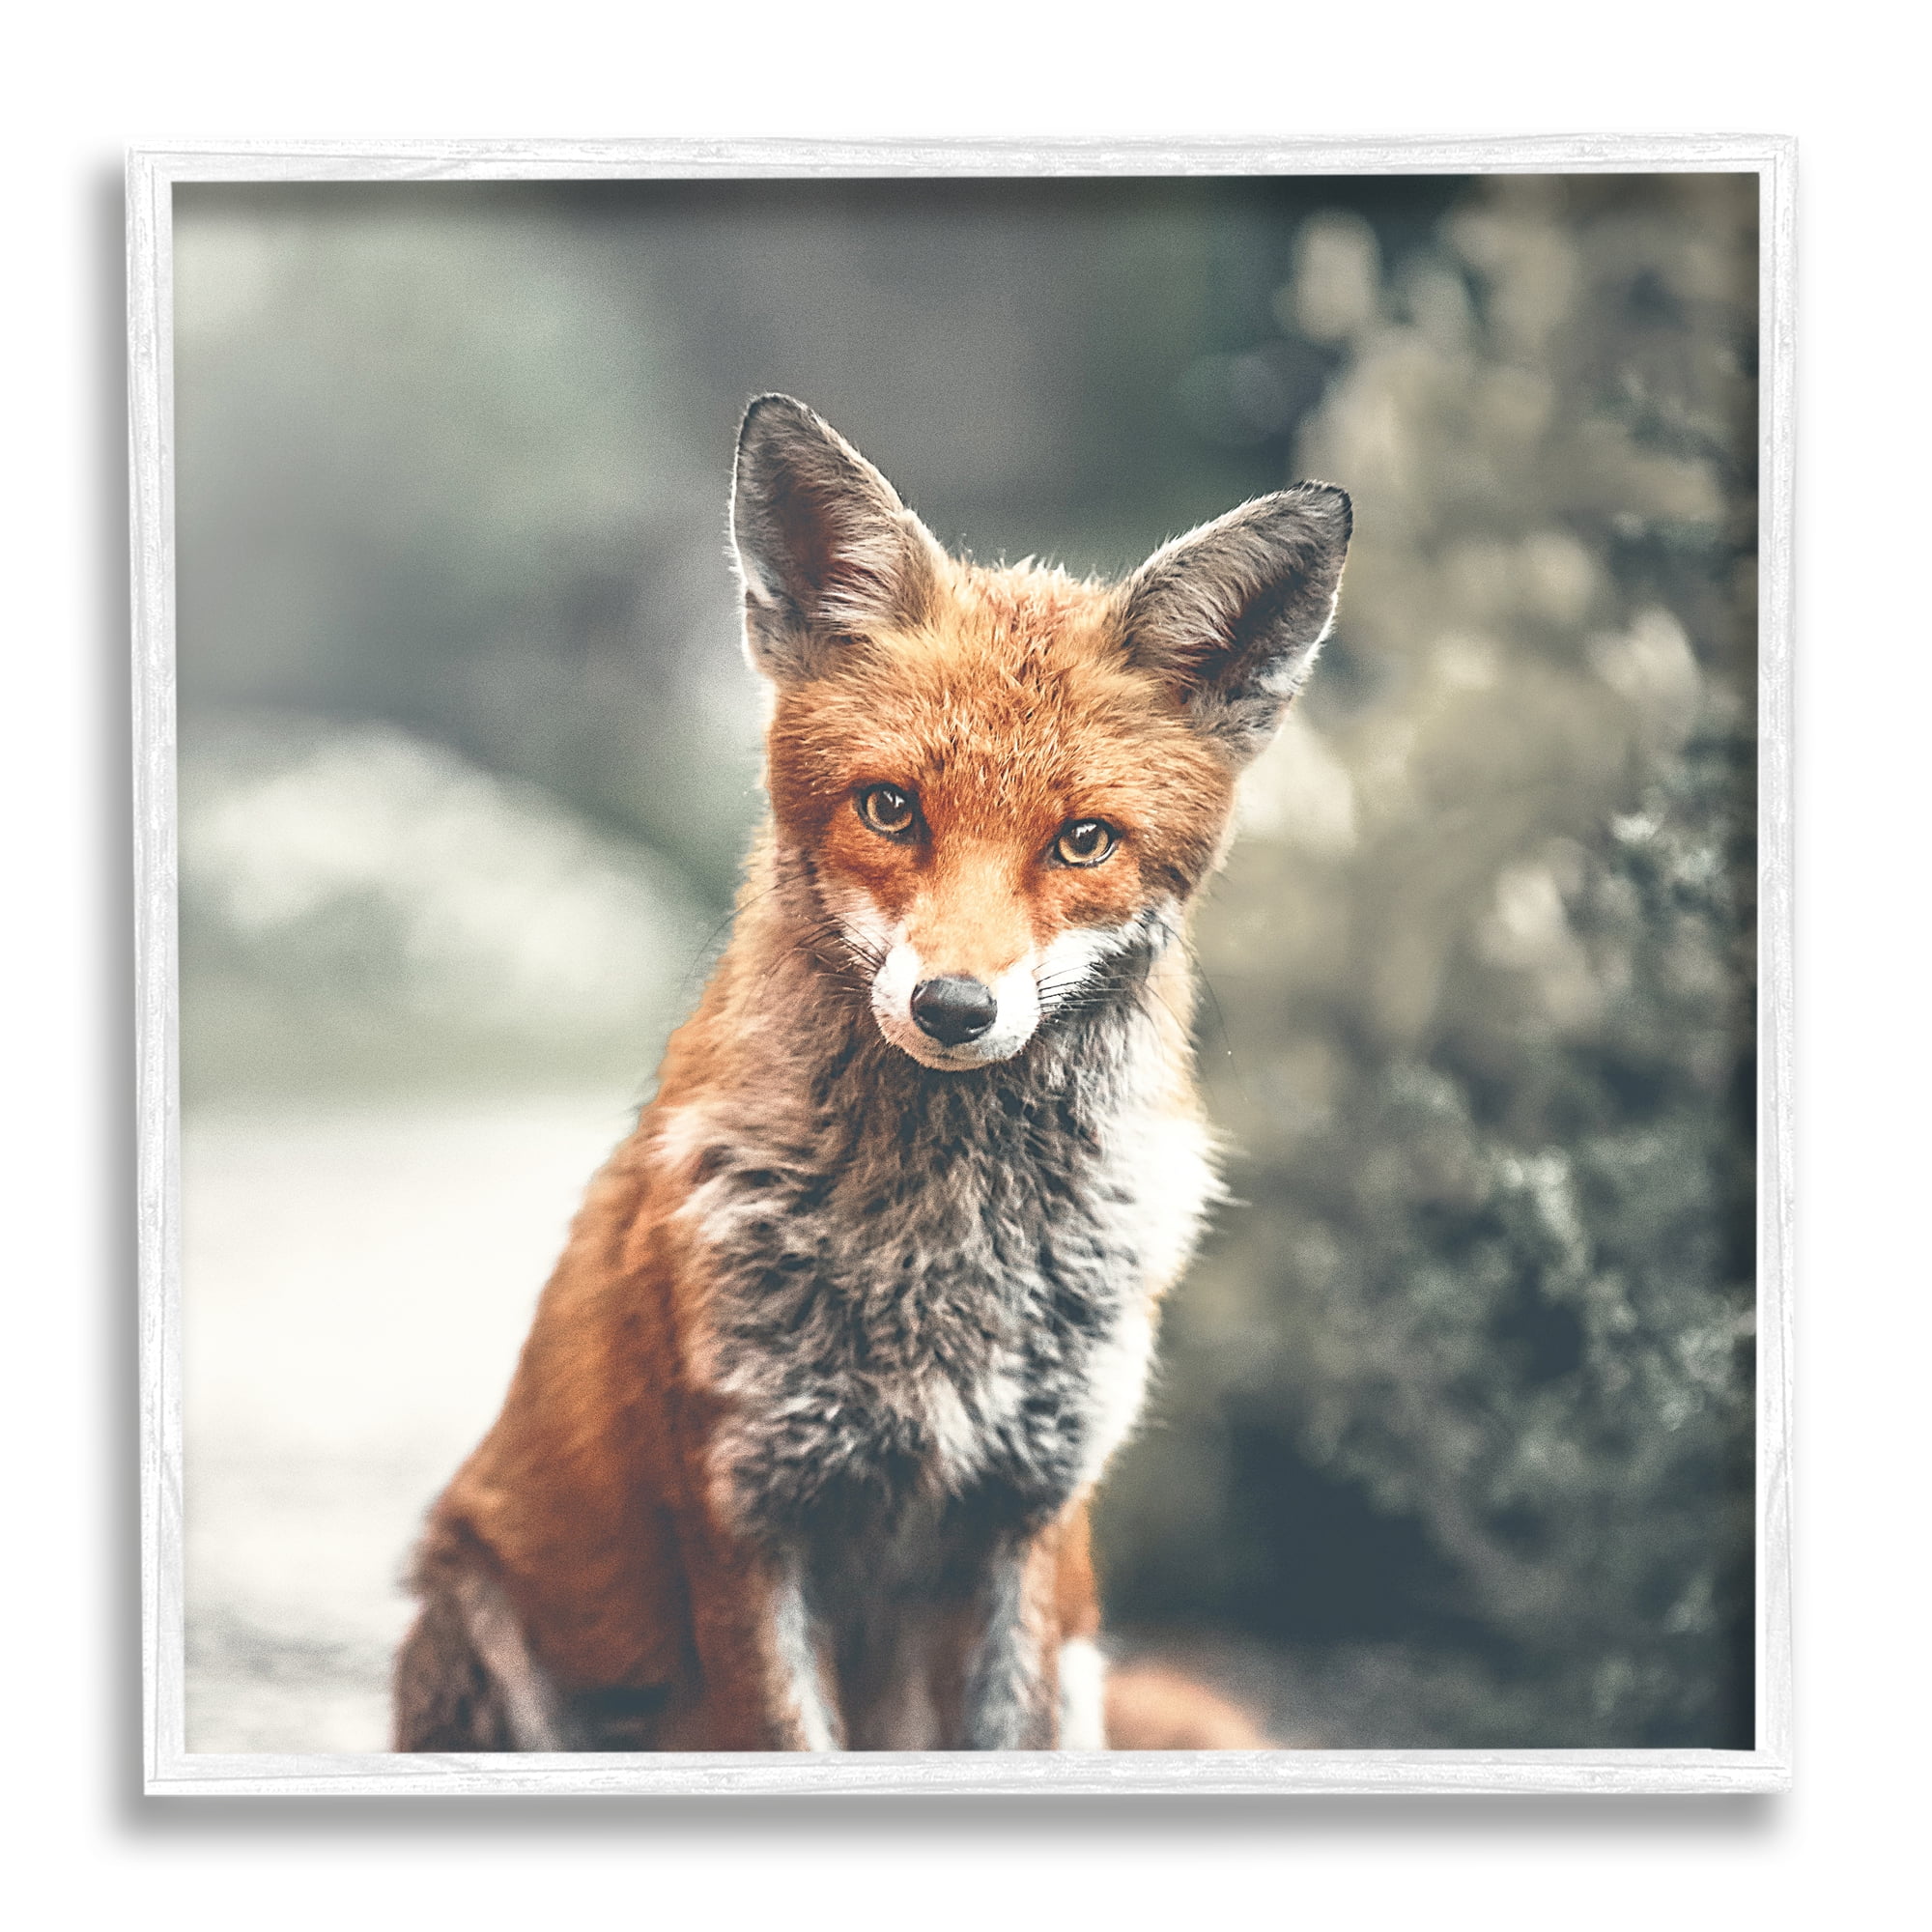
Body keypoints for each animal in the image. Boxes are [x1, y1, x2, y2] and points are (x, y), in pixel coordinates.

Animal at [391, 394, 1350, 1753]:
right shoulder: (744, 1511)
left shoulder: (1028, 1513)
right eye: (890, 808)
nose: (953, 1006)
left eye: (1084, 840)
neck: (945, 1253)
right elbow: (784, 1729)